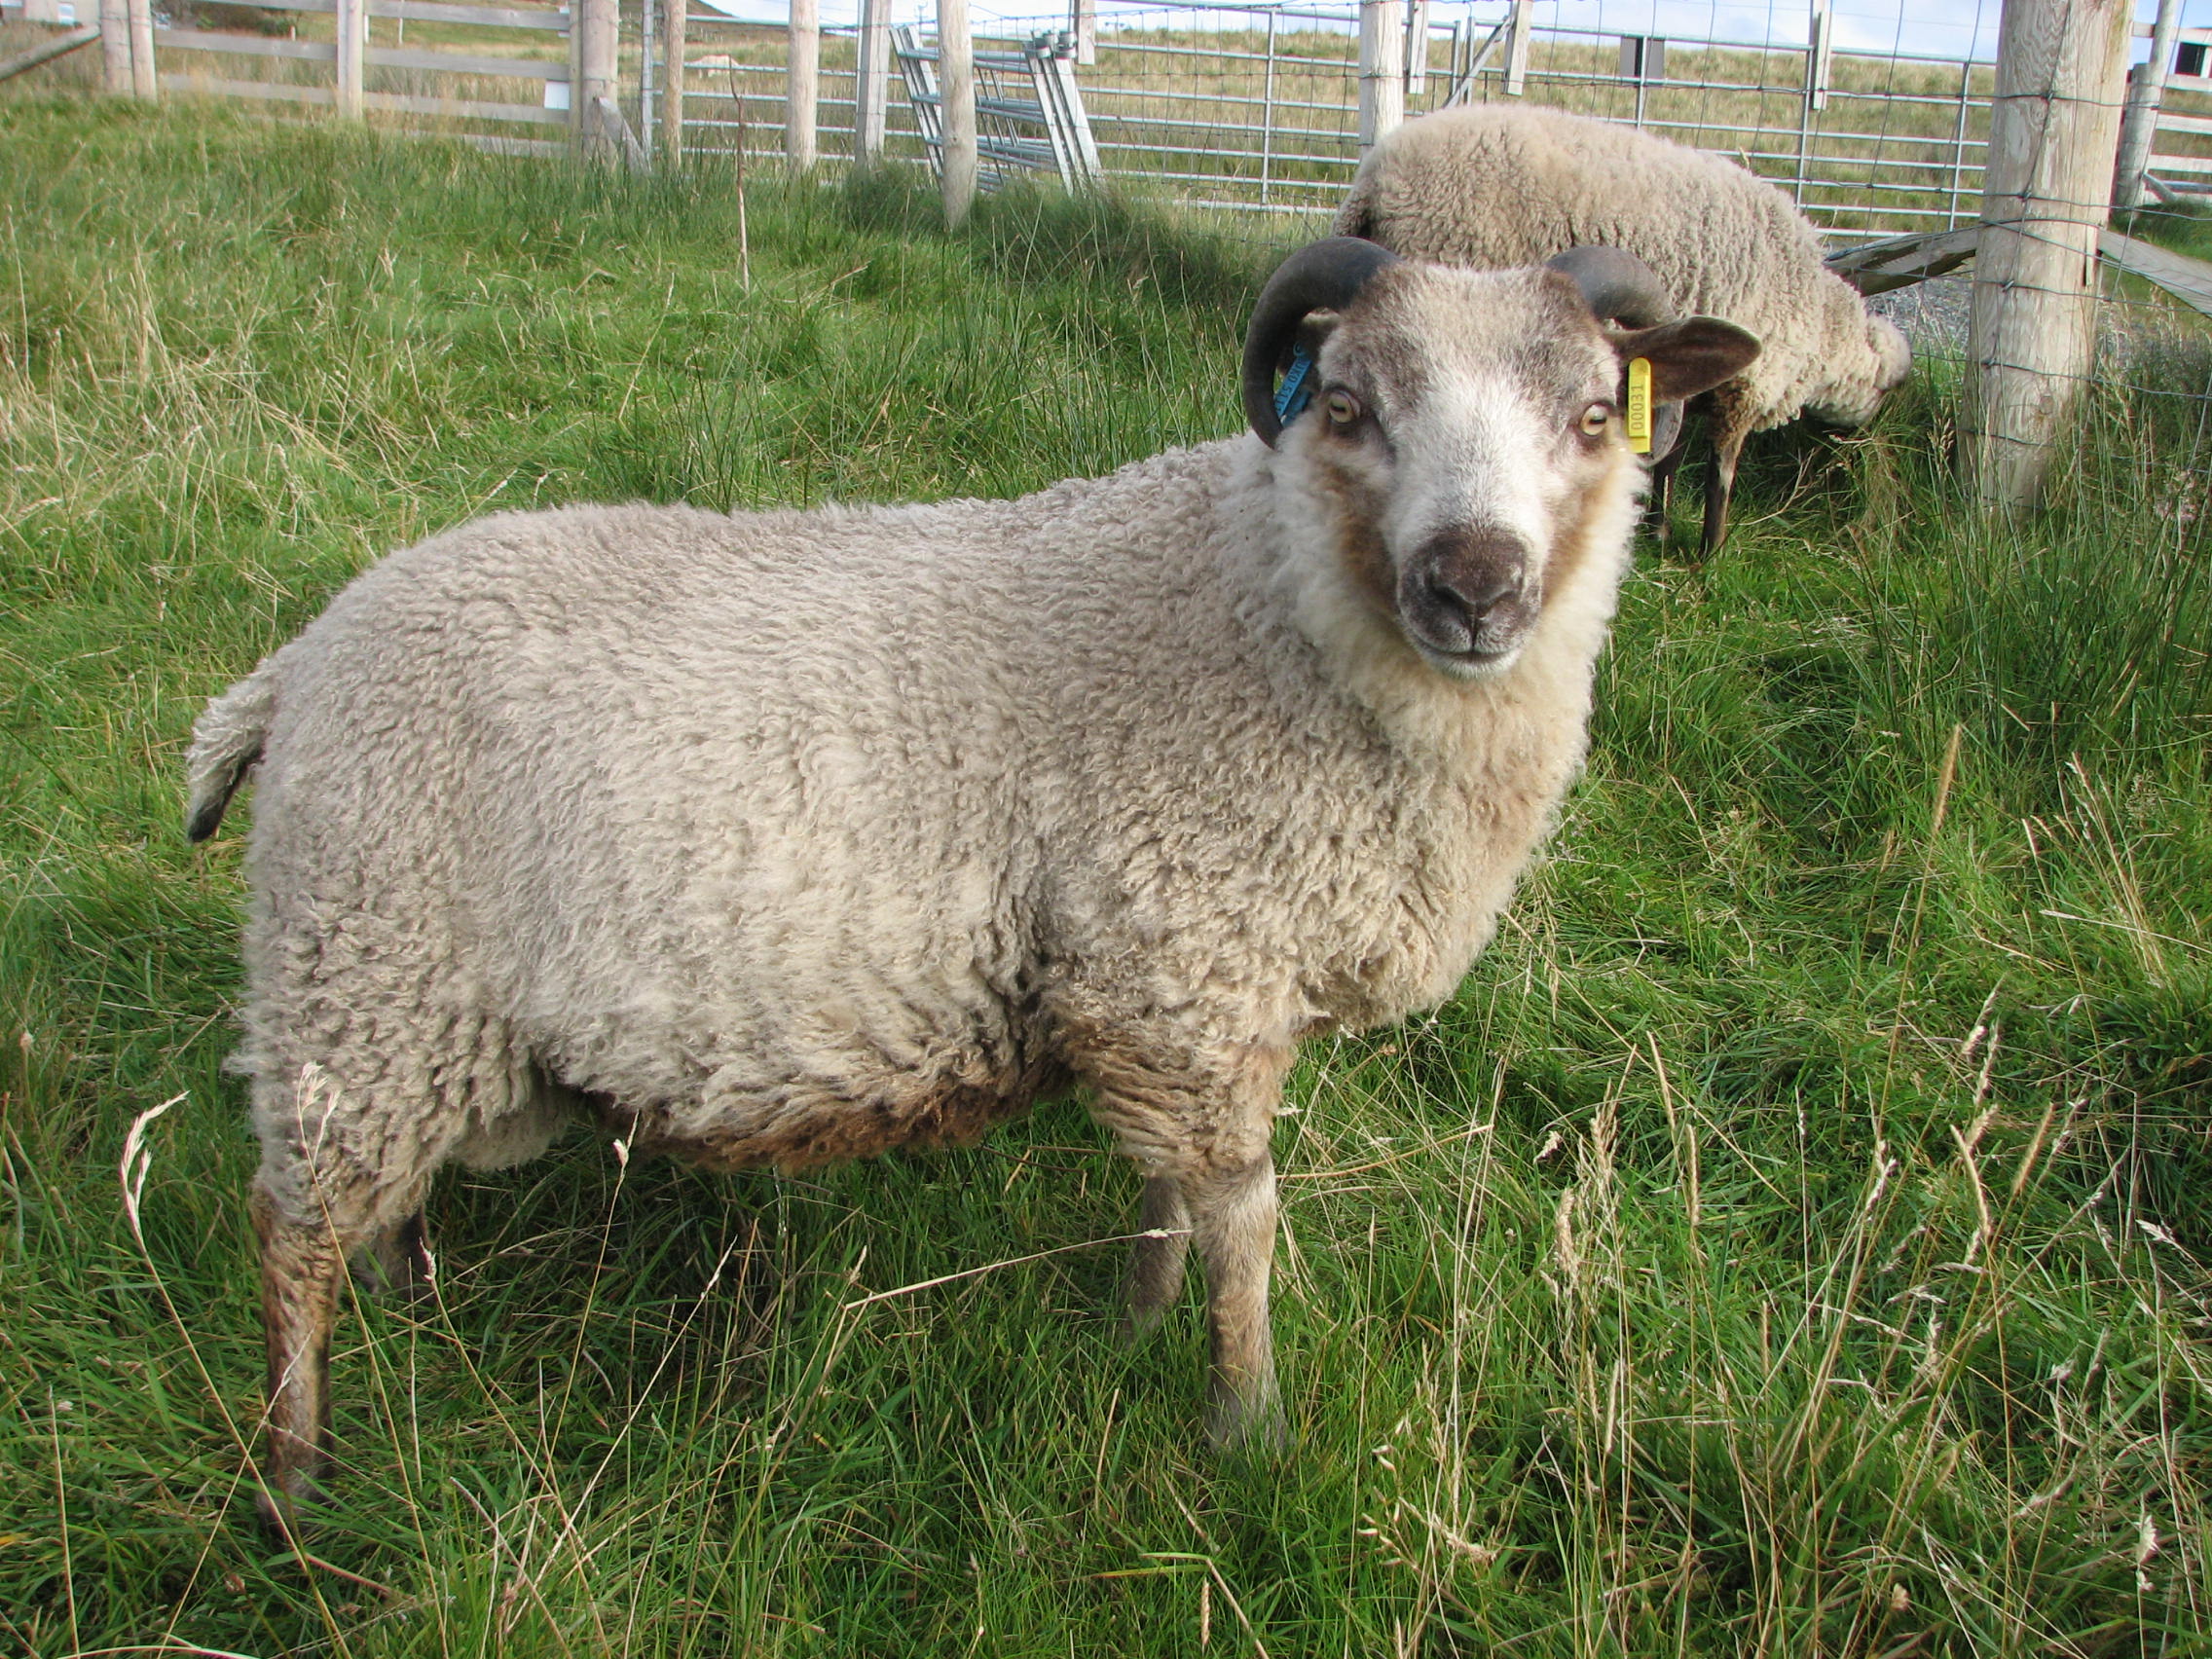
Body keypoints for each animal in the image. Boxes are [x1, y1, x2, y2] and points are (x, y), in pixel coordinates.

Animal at [185, 237, 1759, 1527]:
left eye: (1595, 415)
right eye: (1350, 407)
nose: (1474, 586)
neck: (1262, 607)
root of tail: (292, 668)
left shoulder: (1152, 987)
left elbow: (1165, 1196)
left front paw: (1133, 1326)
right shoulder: (1188, 974)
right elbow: (1242, 1220)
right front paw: (1245, 1428)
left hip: (398, 1010)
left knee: (374, 1205)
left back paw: (413, 1320)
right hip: (362, 967)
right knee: (289, 1231)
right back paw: (297, 1480)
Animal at [1332, 103, 1911, 556]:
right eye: (1888, 390)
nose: (1862, 445)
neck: (1821, 322)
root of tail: (1374, 182)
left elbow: (1670, 453)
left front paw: (1658, 530)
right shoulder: (1748, 386)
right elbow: (1721, 472)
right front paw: (1712, 550)